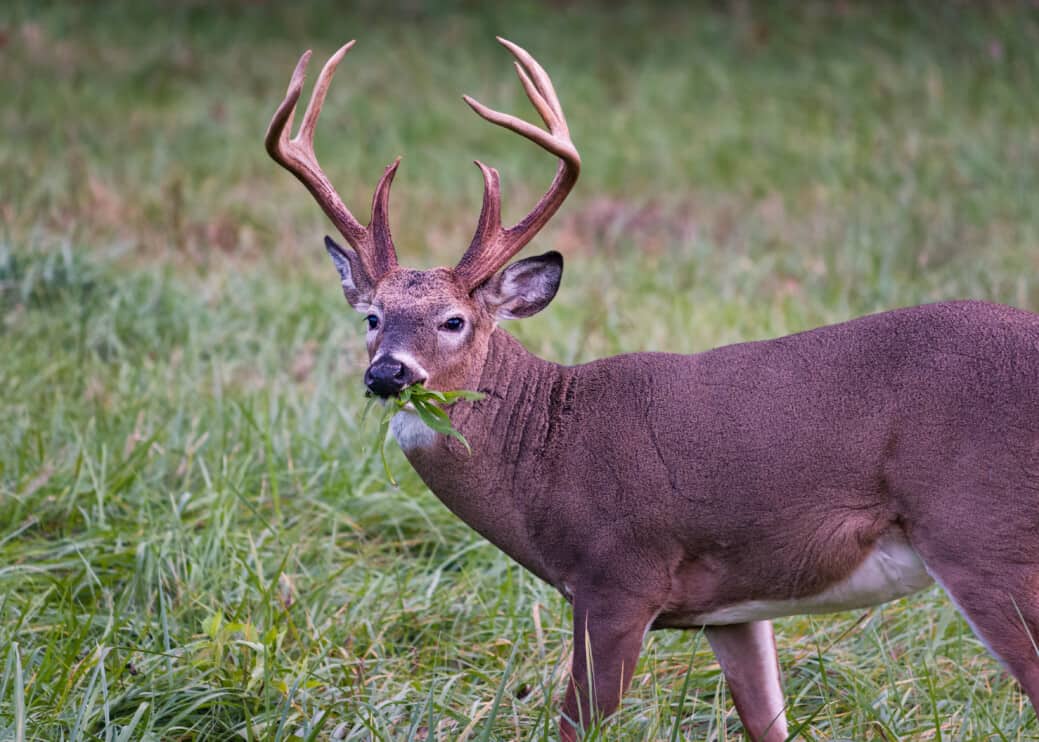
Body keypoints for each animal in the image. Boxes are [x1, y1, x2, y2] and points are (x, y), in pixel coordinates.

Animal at [265, 38, 1039, 741]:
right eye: (371, 316)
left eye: (453, 320)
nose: (388, 373)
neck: (546, 452)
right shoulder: (734, 605)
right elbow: (766, 722)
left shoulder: (618, 576)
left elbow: (576, 726)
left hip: (982, 531)